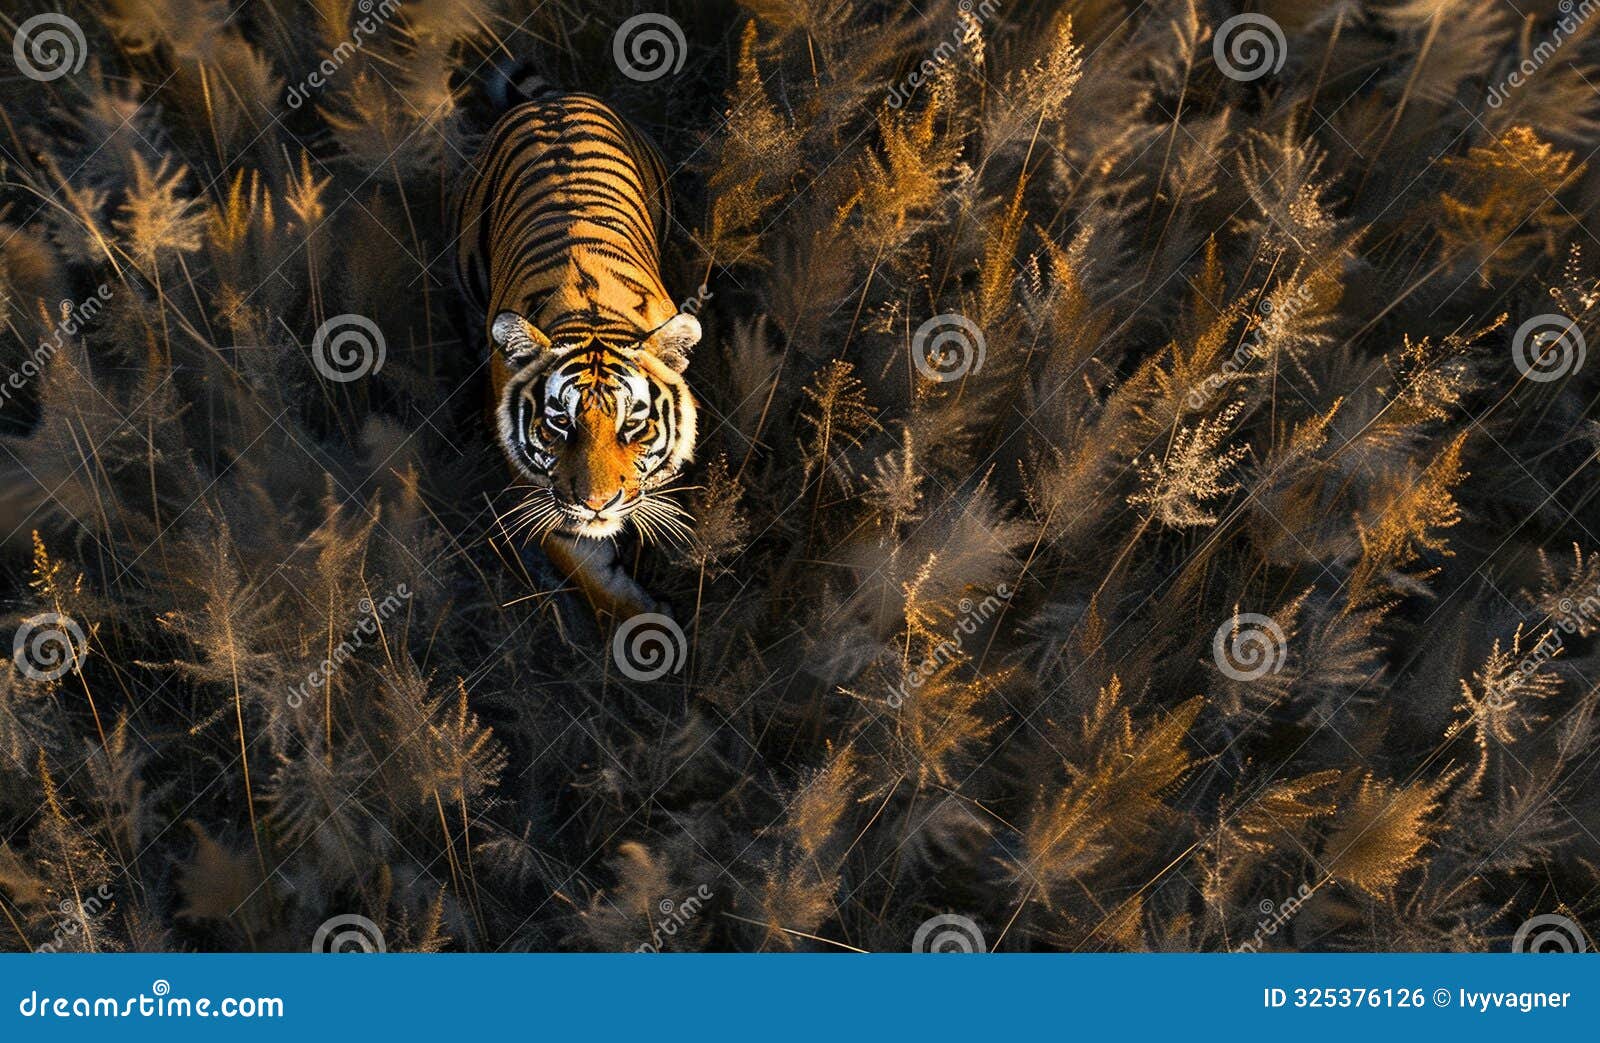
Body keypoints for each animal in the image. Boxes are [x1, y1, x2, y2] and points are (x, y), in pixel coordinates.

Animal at [455, 81, 701, 620]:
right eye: (559, 423)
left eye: (633, 424)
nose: (597, 503)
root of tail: (554, 100)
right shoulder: (548, 498)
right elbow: (596, 578)